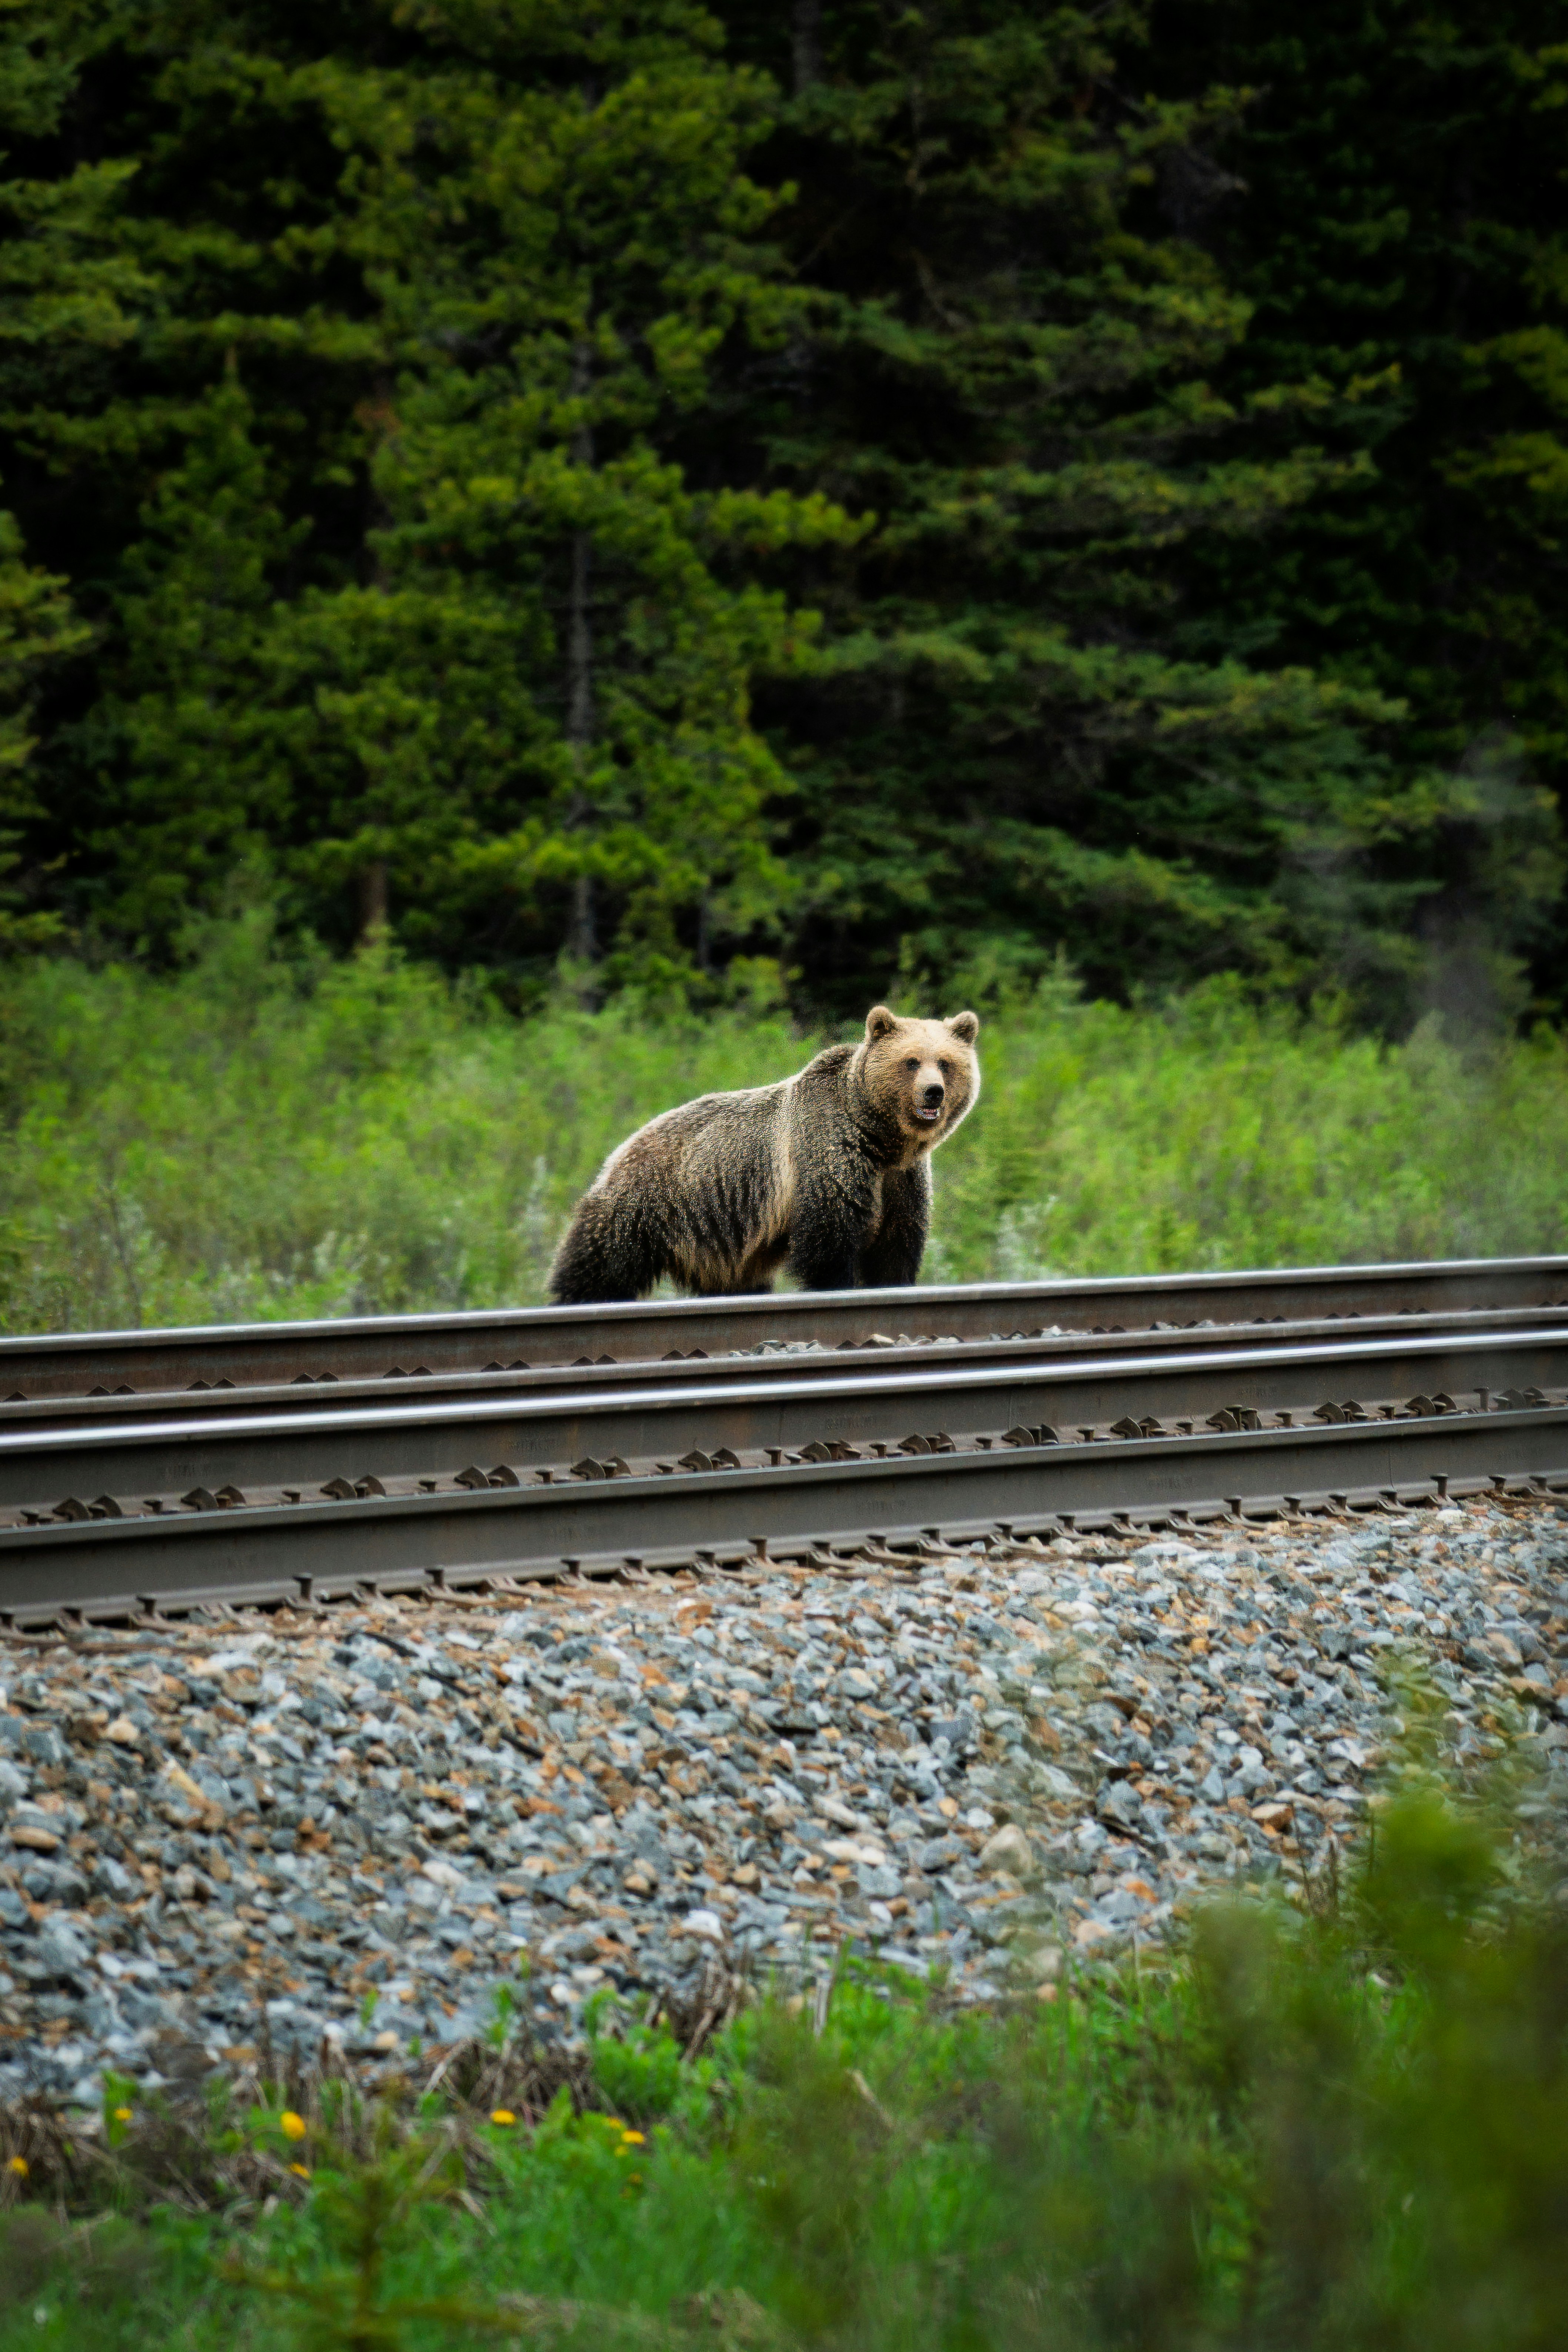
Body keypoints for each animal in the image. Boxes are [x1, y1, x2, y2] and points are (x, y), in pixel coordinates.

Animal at [548, 1005, 981, 1303]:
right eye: (911, 1061)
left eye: (945, 1062)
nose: (933, 1092)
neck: (880, 1137)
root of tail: (625, 1144)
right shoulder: (827, 1153)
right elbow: (828, 1240)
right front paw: (835, 1283)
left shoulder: (901, 1178)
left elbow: (896, 1244)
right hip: (646, 1202)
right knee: (601, 1260)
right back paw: (575, 1297)